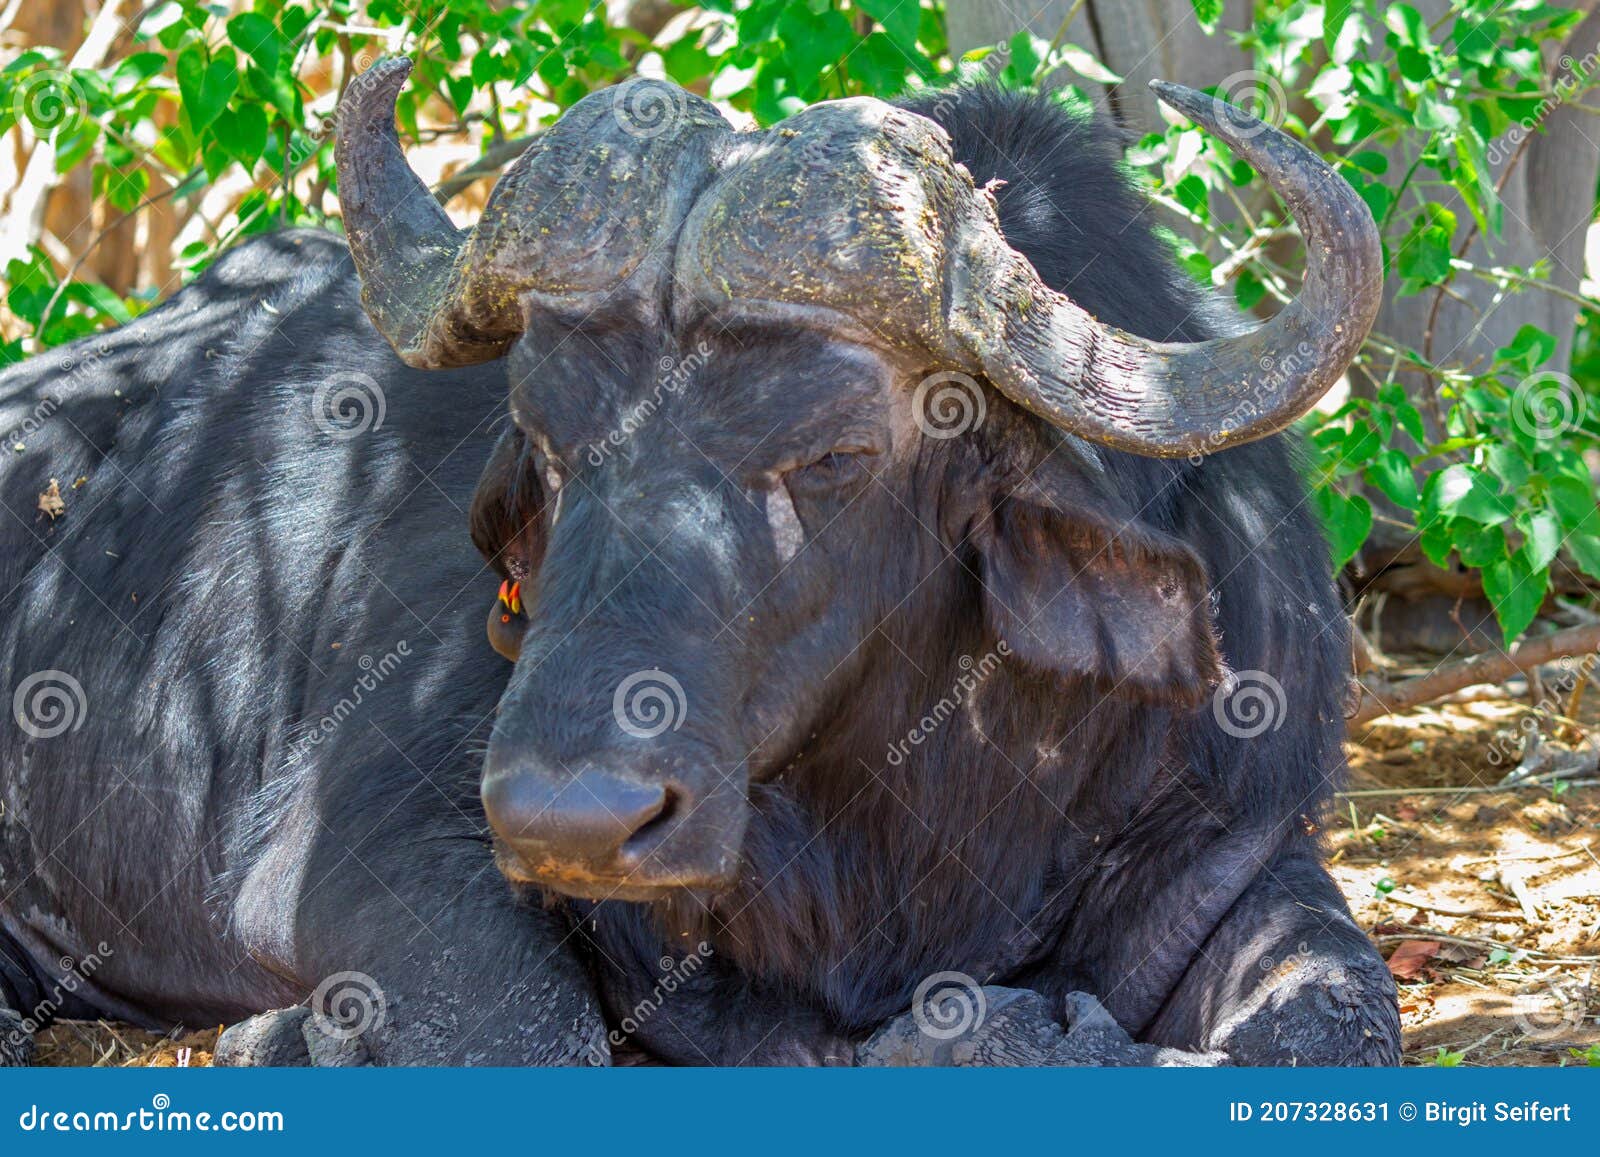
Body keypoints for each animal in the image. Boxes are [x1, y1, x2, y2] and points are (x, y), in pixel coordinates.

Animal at [0, 63, 1399, 1066]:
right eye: (545, 434)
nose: (569, 816)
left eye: (833, 451)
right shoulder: (361, 848)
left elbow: (1334, 1015)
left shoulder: (1228, 839)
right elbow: (528, 1039)